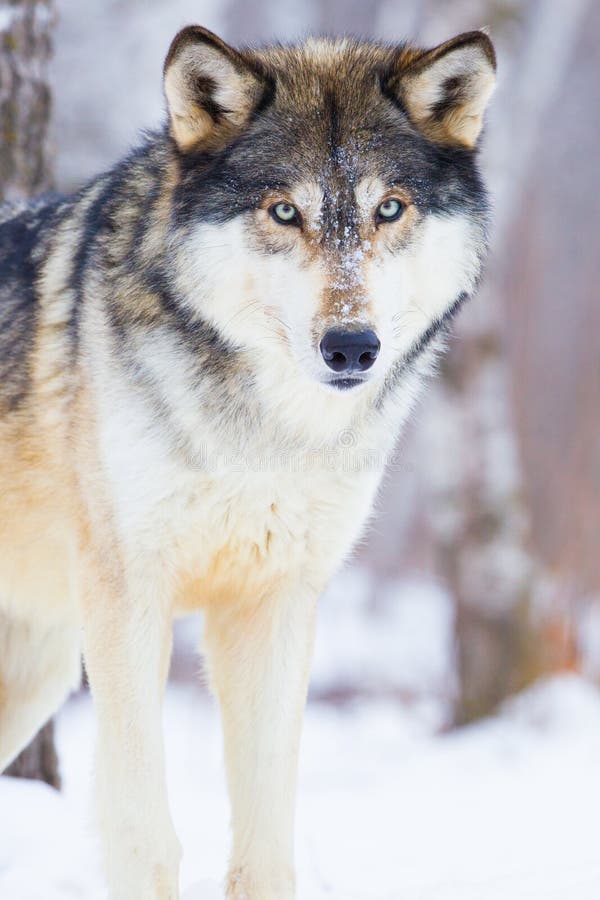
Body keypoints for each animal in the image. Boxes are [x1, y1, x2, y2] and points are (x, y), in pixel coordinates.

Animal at [0, 24, 496, 899]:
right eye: (285, 211)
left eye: (389, 208)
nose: (351, 347)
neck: (265, 440)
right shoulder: (130, 599)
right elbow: (144, 834)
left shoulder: (273, 604)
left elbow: (266, 844)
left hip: (37, 665)